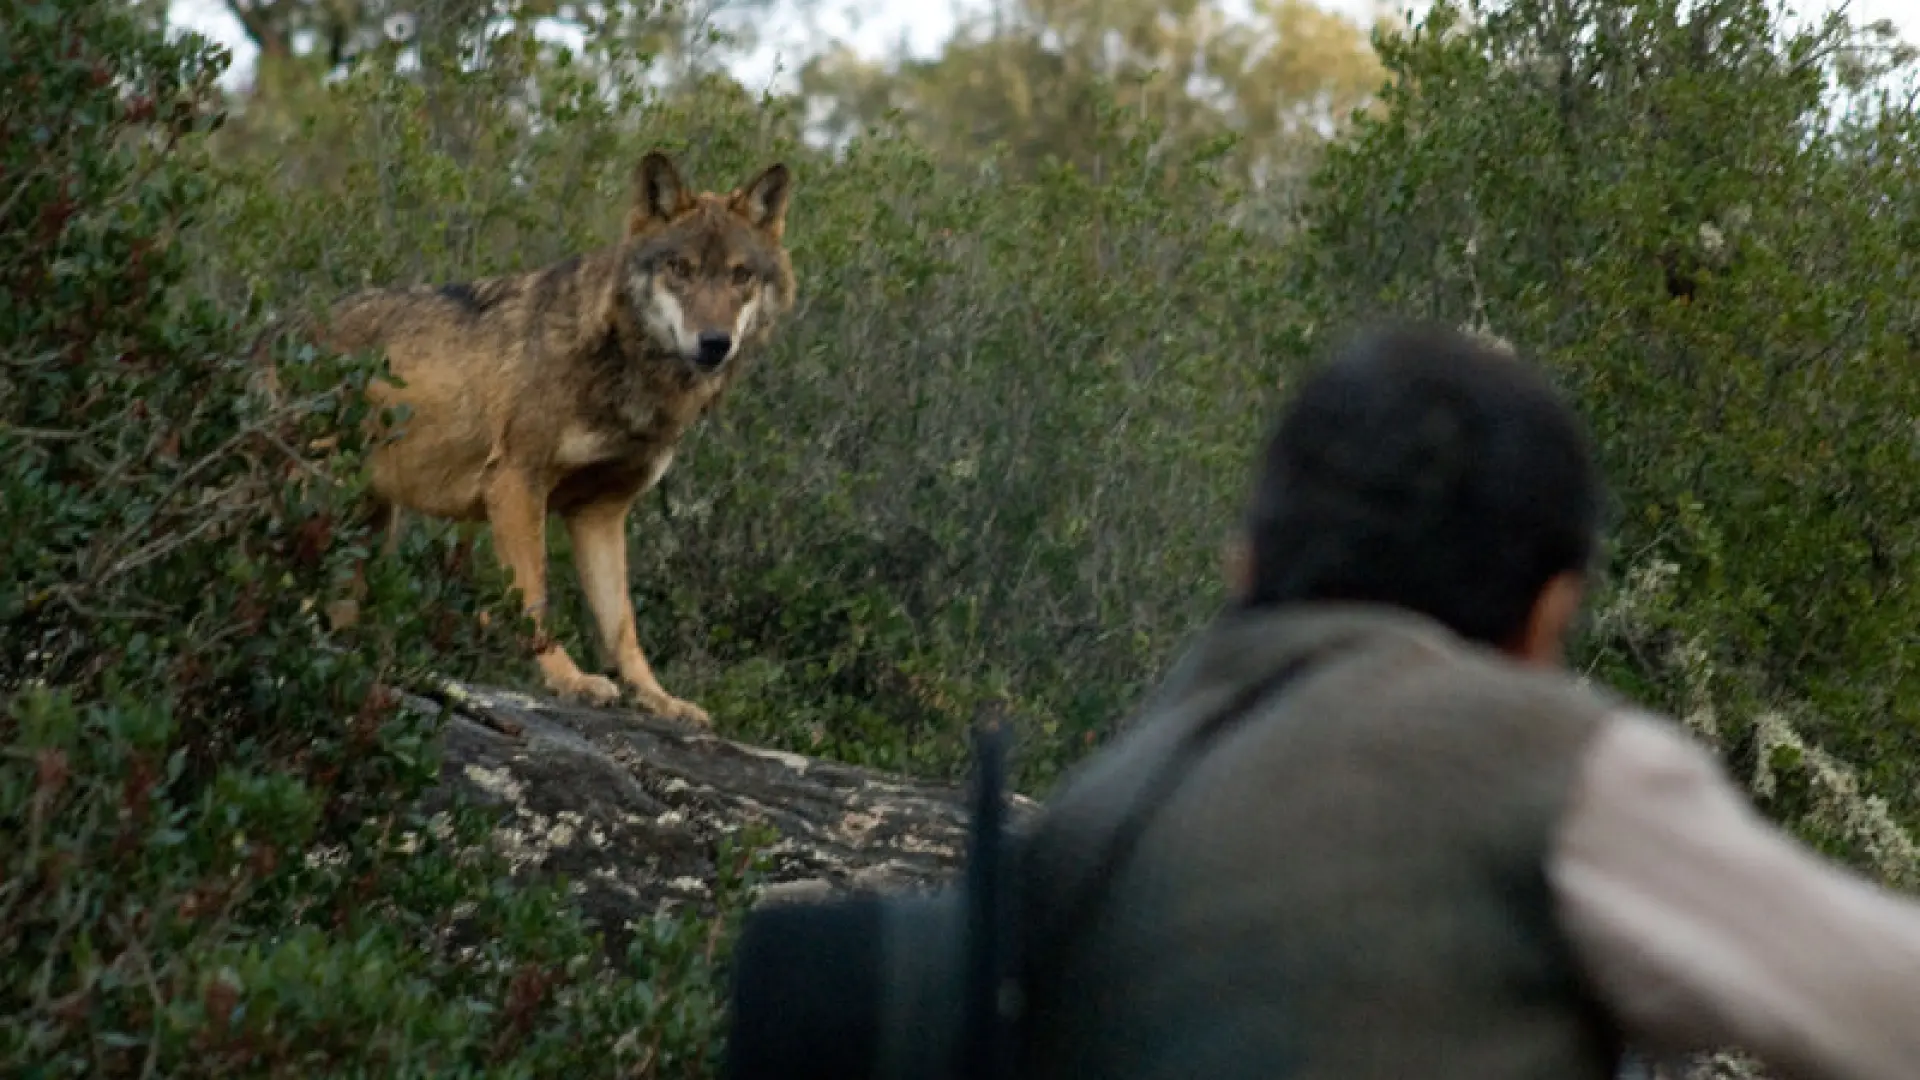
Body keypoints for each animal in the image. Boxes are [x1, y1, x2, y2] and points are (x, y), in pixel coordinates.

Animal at [294, 150, 796, 725]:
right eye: (680, 269)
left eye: (740, 275)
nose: (714, 343)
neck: (623, 366)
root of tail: (270, 332)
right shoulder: (515, 484)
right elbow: (536, 600)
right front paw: (569, 679)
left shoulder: (601, 512)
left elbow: (621, 624)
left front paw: (658, 699)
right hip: (321, 505)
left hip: (369, 527)